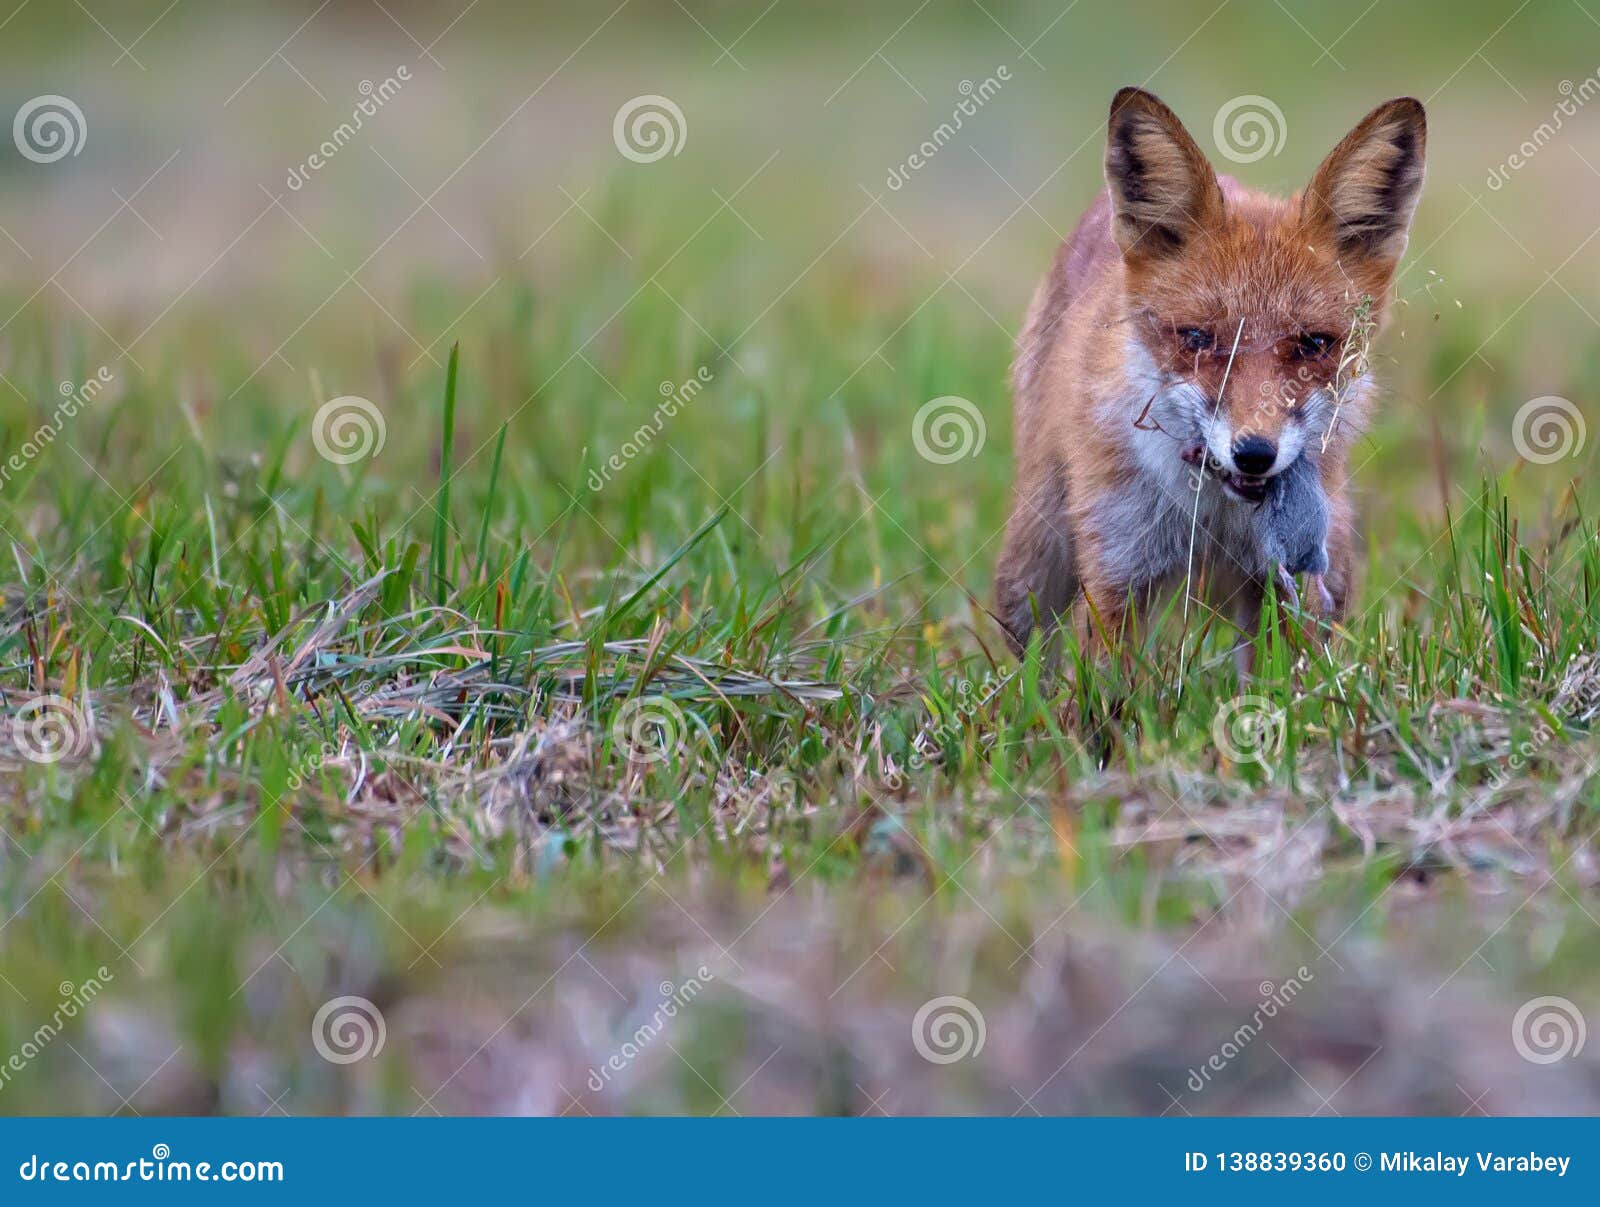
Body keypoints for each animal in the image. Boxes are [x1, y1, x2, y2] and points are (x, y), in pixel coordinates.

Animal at [995, 87, 1426, 656]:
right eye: (1198, 339)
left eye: (1314, 344)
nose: (1254, 454)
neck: (1214, 515)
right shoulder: (1116, 572)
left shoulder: (1289, 582)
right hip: (1034, 564)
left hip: (1330, 564)